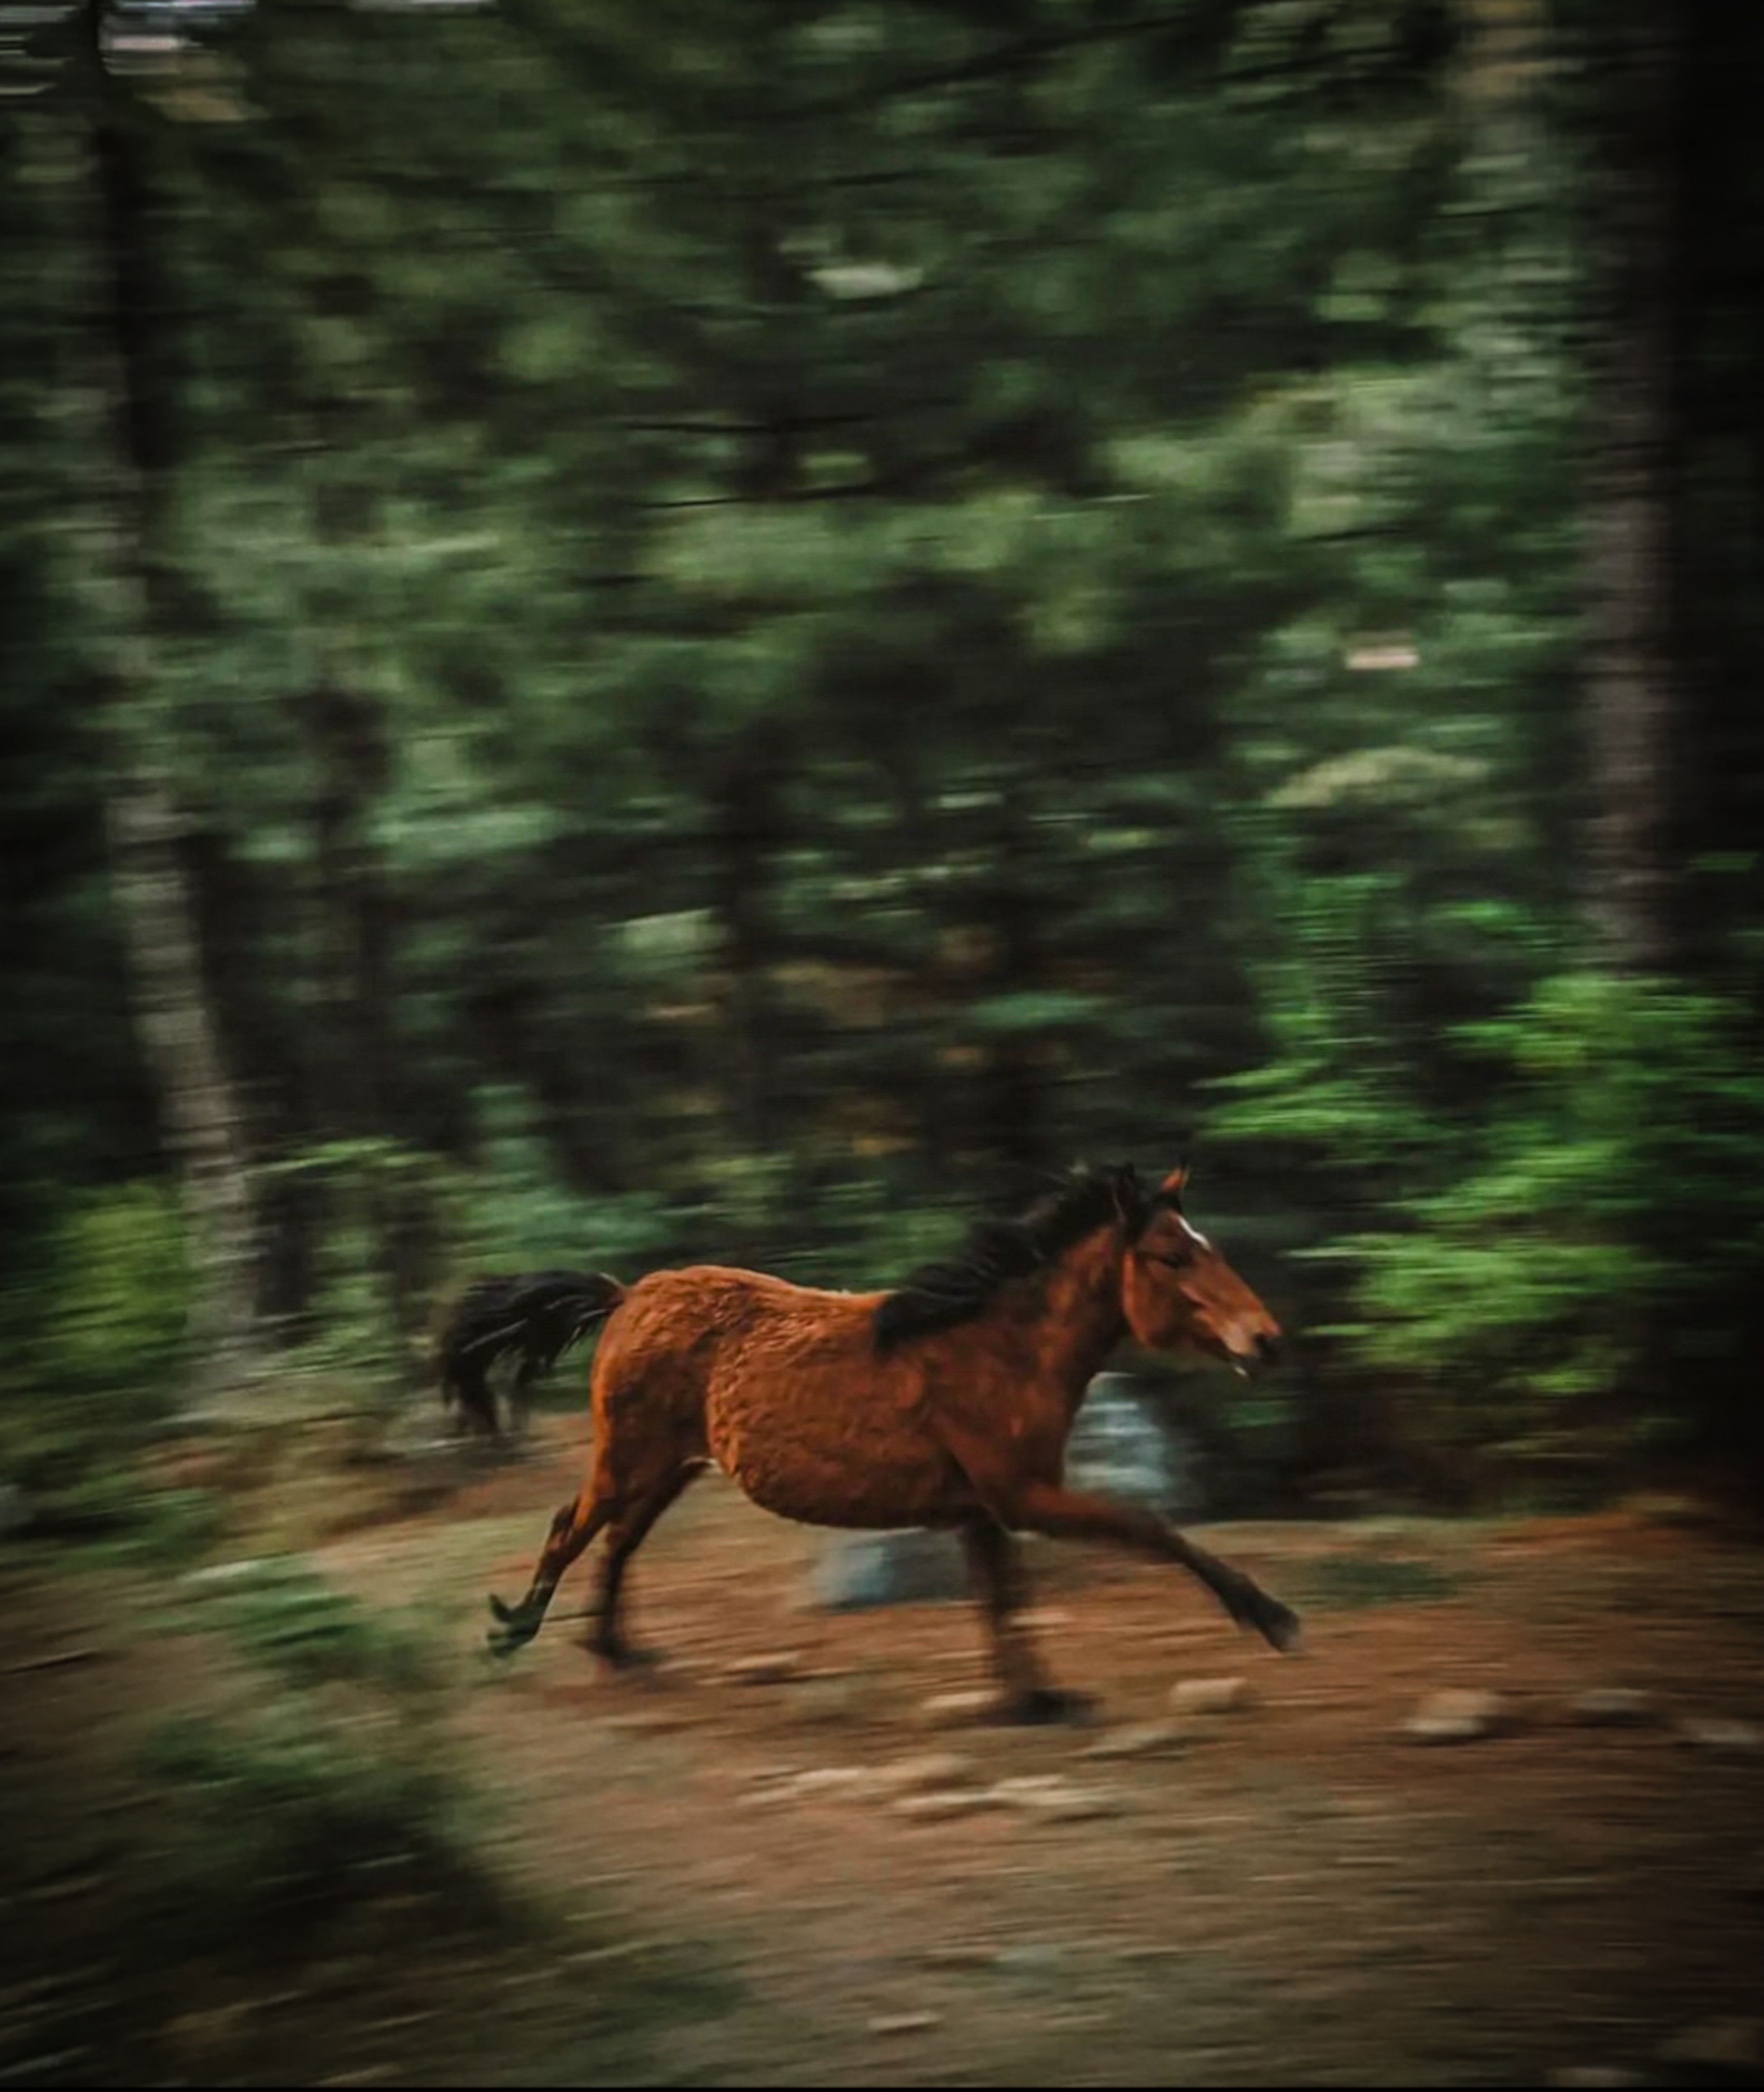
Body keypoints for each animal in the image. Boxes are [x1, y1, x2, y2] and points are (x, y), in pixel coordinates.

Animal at [438, 1161, 1301, 1722]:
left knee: (617, 1544)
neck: (997, 1350)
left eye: (1210, 1246)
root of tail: (625, 1297)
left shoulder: (983, 1511)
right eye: (1171, 1256)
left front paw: (1035, 1698)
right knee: (571, 1529)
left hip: (670, 1468)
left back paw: (618, 1653)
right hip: (629, 1461)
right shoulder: (1024, 1498)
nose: (1267, 1341)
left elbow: (1003, 1599)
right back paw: (513, 1634)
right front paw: (1271, 1617)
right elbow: (1151, 1529)